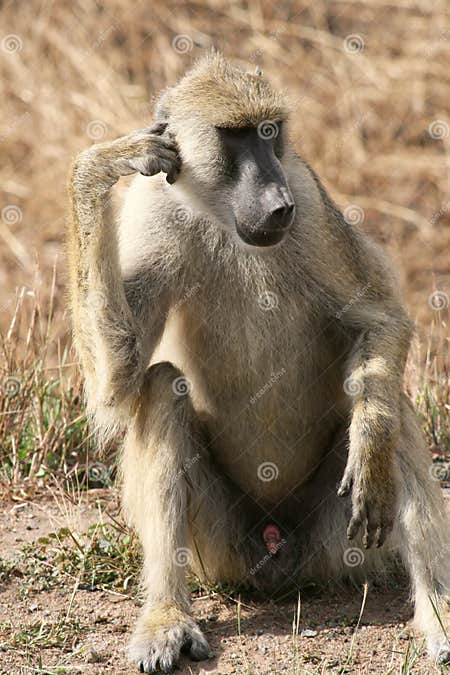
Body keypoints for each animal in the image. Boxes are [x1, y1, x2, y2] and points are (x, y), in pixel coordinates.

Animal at [67, 53, 450, 673]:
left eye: (270, 133)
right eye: (235, 136)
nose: (276, 204)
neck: (222, 215)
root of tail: (277, 558)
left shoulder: (310, 200)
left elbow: (382, 318)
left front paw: (371, 444)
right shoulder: (153, 205)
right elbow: (116, 384)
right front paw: (99, 164)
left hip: (334, 542)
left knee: (394, 406)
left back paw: (438, 611)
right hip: (221, 551)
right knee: (163, 387)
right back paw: (166, 617)